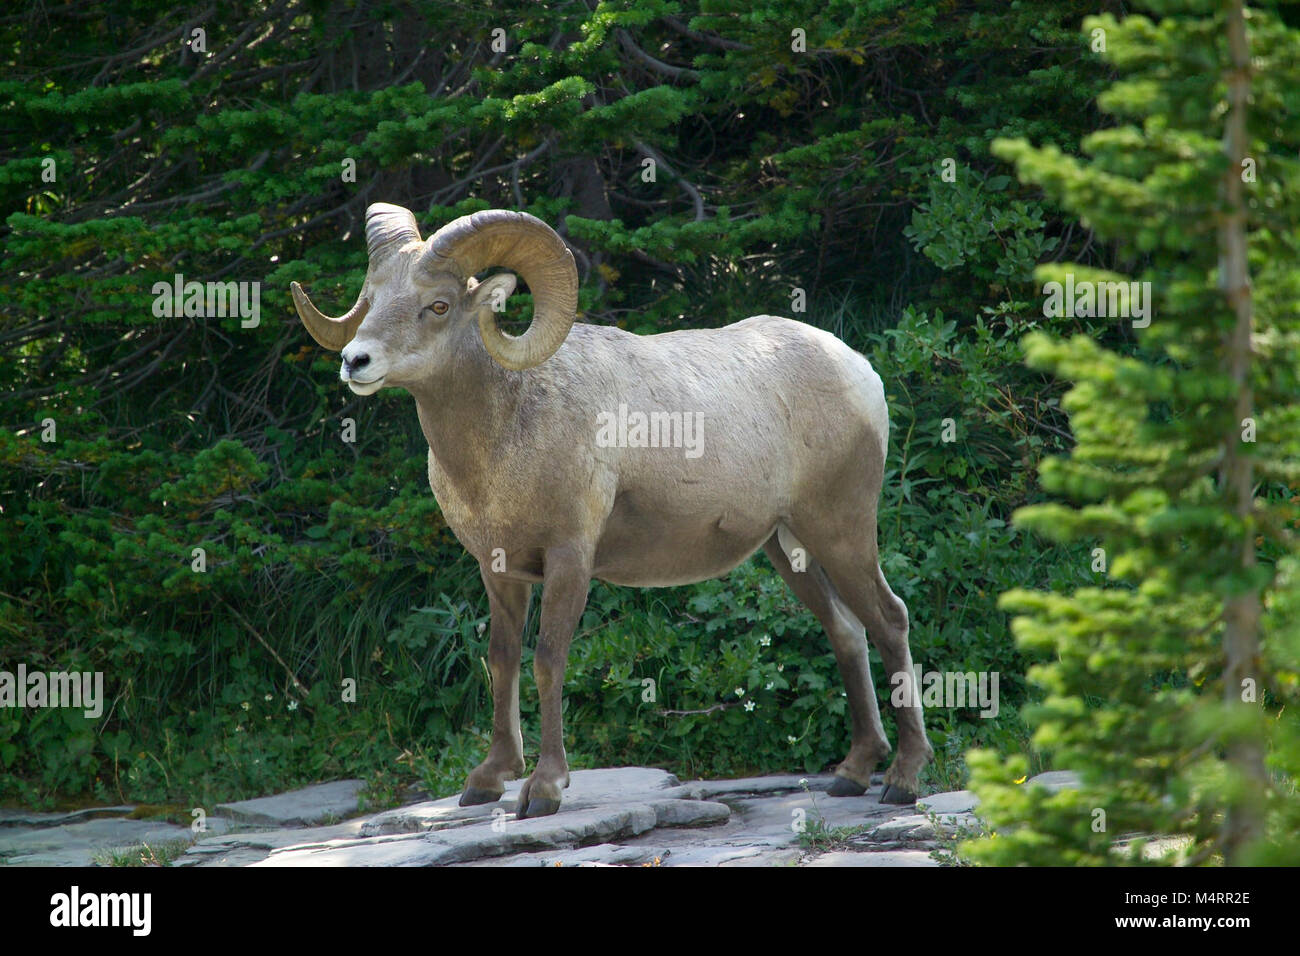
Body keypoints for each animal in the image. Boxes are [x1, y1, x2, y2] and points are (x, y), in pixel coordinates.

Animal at [291, 203, 933, 817]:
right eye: (372, 298)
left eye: (439, 305)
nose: (356, 361)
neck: (504, 435)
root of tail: (860, 372)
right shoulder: (498, 572)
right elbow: (502, 661)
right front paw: (487, 781)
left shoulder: (569, 560)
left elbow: (548, 660)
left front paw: (543, 790)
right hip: (789, 548)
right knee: (847, 631)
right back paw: (852, 774)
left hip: (841, 530)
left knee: (889, 619)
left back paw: (901, 780)